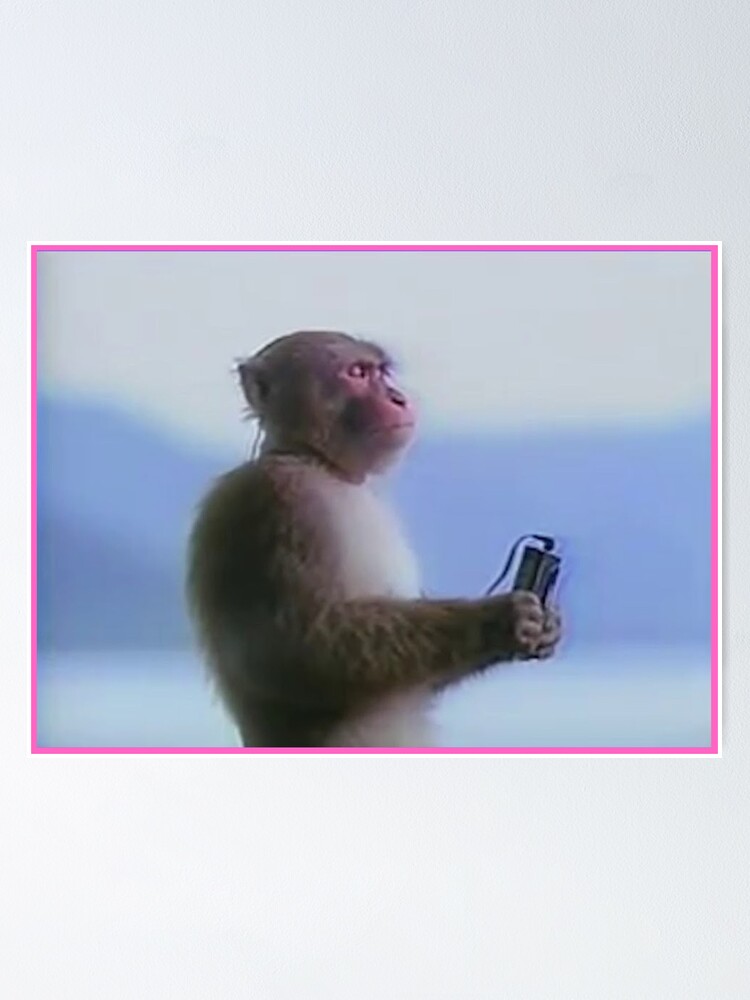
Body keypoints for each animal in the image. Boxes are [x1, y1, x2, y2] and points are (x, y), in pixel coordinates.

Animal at [186, 330, 562, 748]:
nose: (397, 397)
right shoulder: (276, 501)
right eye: (357, 373)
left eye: (381, 372)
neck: (316, 462)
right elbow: (289, 655)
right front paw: (502, 619)